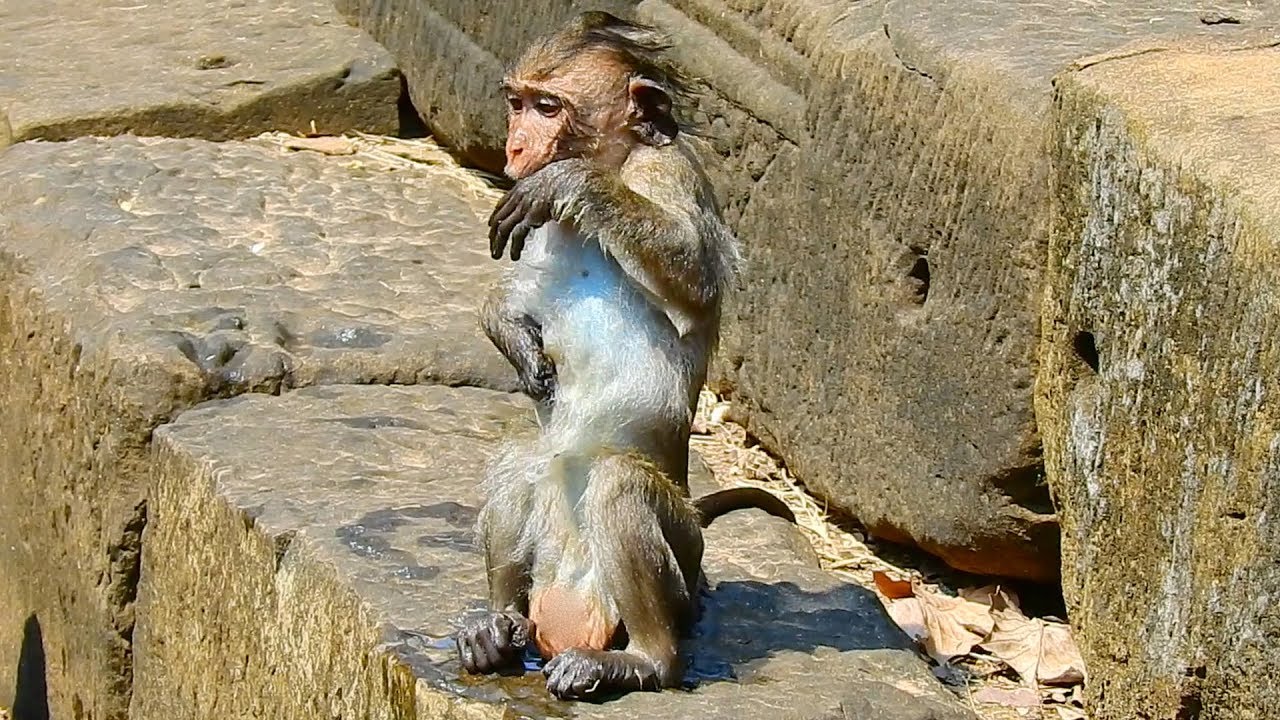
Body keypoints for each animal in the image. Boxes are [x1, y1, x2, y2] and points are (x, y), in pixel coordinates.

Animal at [458, 12, 795, 700]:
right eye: (516, 103)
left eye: (548, 107)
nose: (515, 148)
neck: (616, 157)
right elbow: (524, 297)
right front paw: (516, 340)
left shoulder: (669, 174)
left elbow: (695, 274)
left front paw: (572, 183)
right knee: (519, 457)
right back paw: (498, 625)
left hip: (682, 559)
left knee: (620, 485)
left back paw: (643, 661)